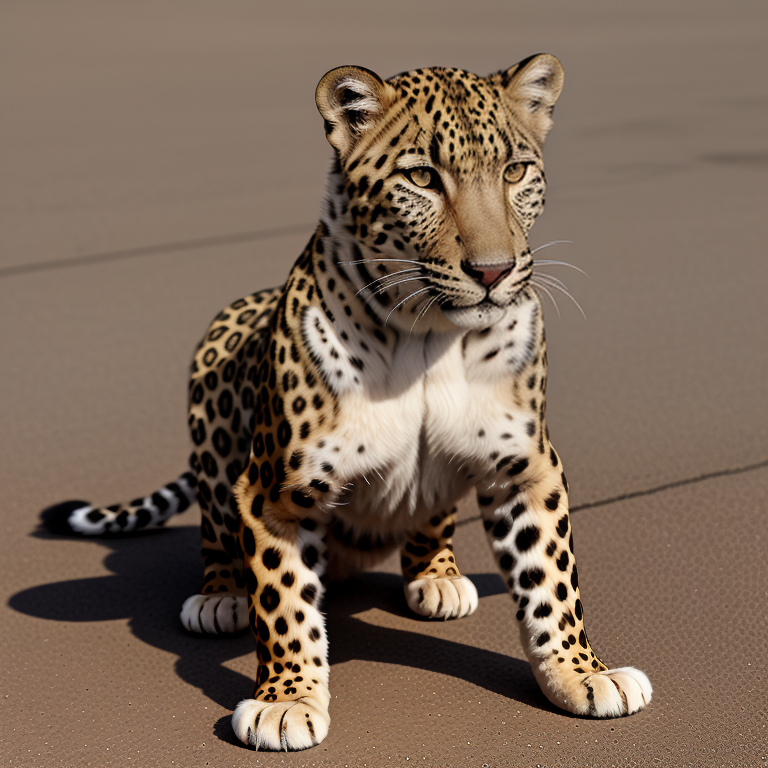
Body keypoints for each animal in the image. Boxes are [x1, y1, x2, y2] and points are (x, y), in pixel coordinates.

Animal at [44, 54, 652, 751]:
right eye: (422, 178)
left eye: (514, 172)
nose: (494, 272)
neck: (429, 341)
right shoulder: (274, 492)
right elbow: (284, 605)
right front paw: (286, 701)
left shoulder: (526, 467)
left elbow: (551, 582)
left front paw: (582, 674)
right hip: (216, 388)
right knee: (216, 529)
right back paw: (220, 595)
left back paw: (437, 574)